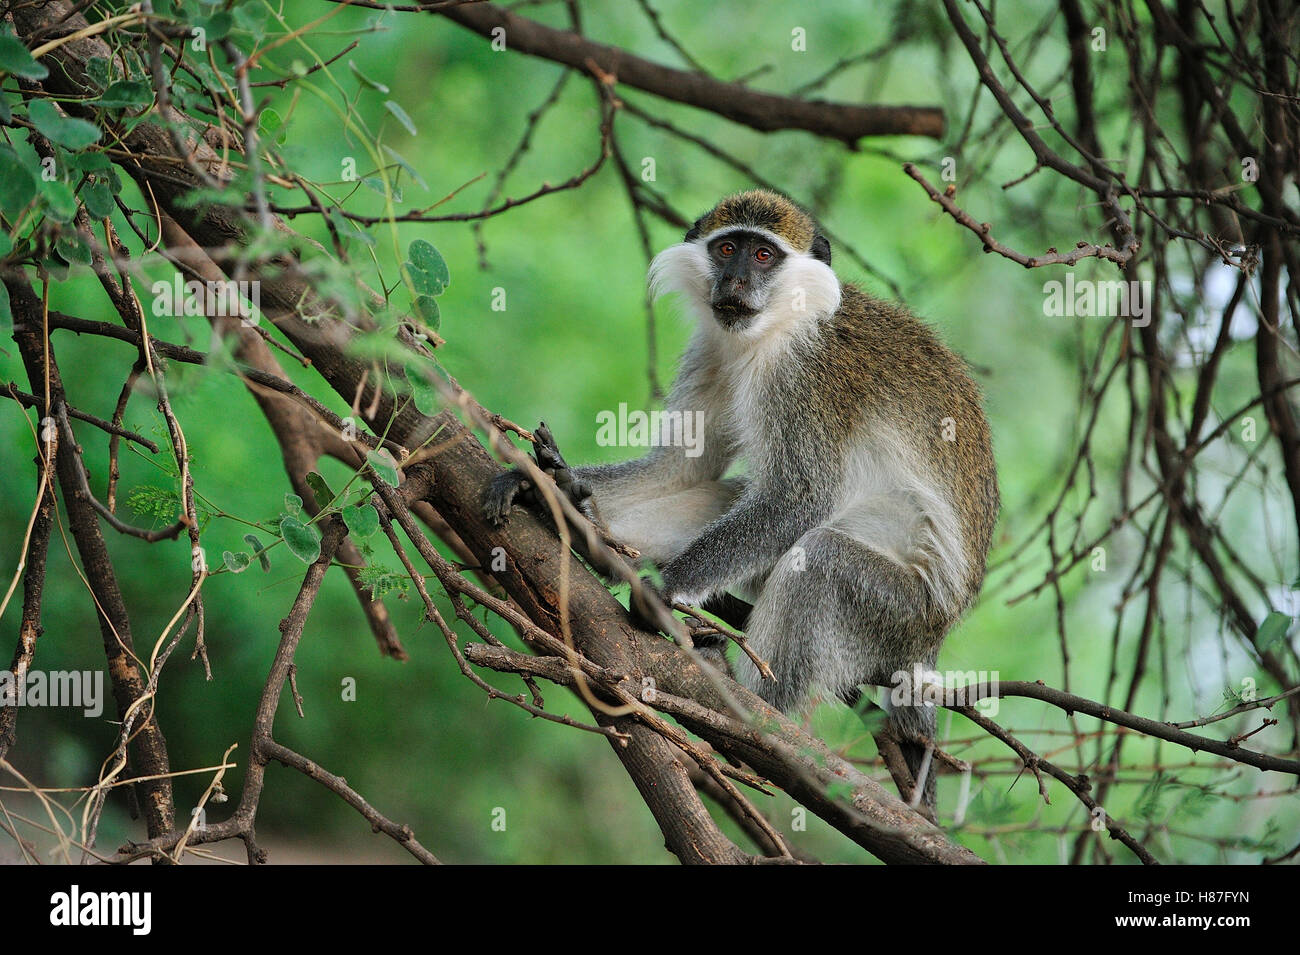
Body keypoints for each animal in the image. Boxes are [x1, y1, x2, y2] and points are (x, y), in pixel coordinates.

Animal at [484, 189, 999, 810]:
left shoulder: (804, 377)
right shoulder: (710, 348)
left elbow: (800, 501)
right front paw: (539, 483)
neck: (773, 329)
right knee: (728, 496)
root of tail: (939, 634)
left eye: (763, 255)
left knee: (819, 559)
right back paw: (583, 524)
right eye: (727, 249)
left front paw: (665, 592)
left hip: (901, 612)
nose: (733, 281)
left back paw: (752, 708)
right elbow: (682, 466)